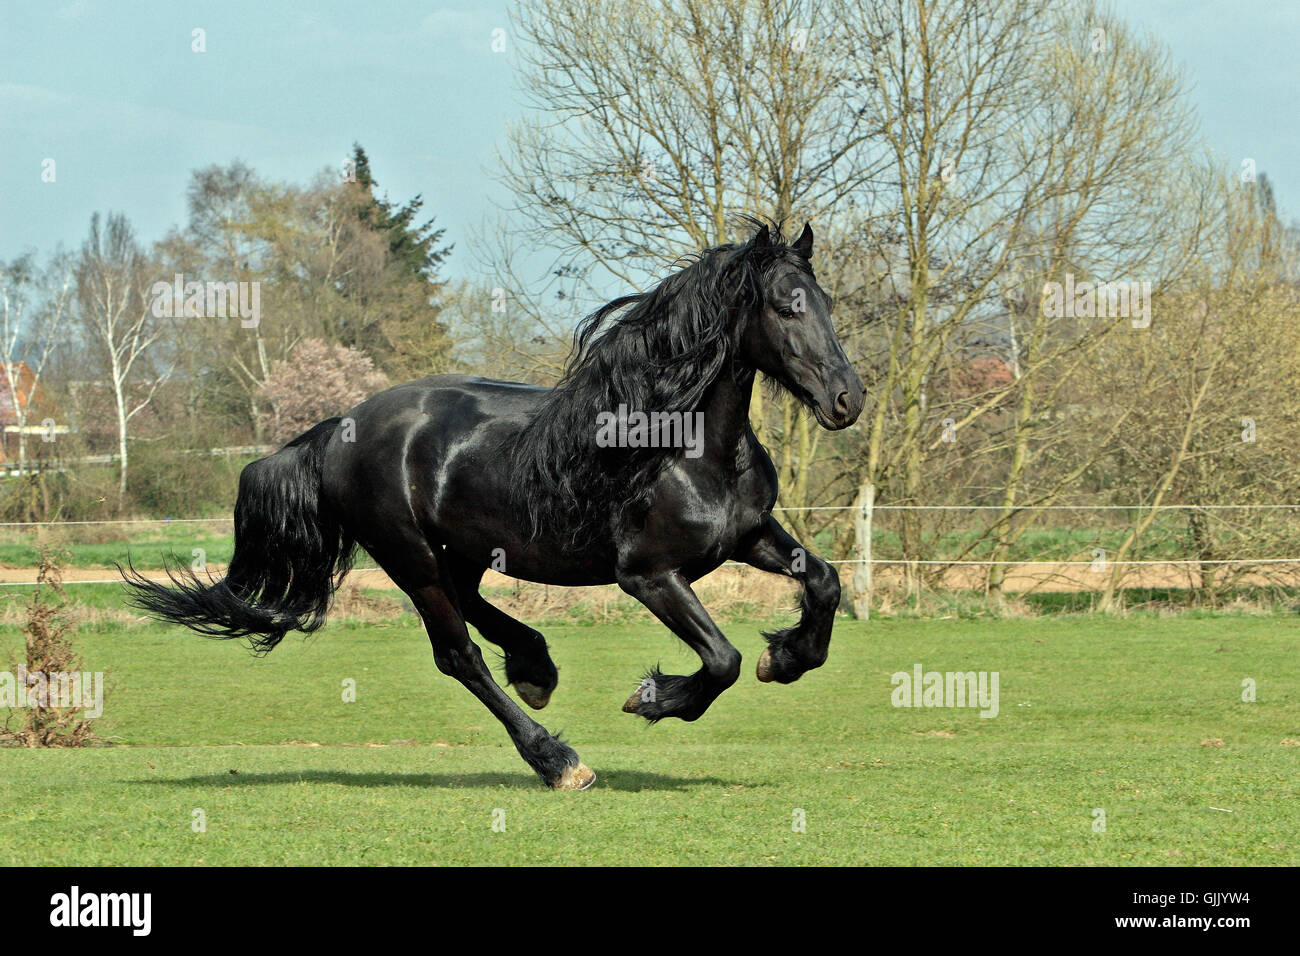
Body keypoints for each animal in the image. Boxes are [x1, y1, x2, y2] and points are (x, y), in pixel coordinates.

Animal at [121, 221, 865, 790]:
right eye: (787, 306)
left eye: (825, 302)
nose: (846, 400)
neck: (683, 447)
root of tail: (340, 426)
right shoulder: (649, 575)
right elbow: (722, 660)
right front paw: (654, 698)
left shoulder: (748, 535)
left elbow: (825, 582)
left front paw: (787, 657)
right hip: (412, 560)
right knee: (460, 655)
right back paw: (557, 759)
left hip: (468, 549)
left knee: (476, 606)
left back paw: (536, 666)